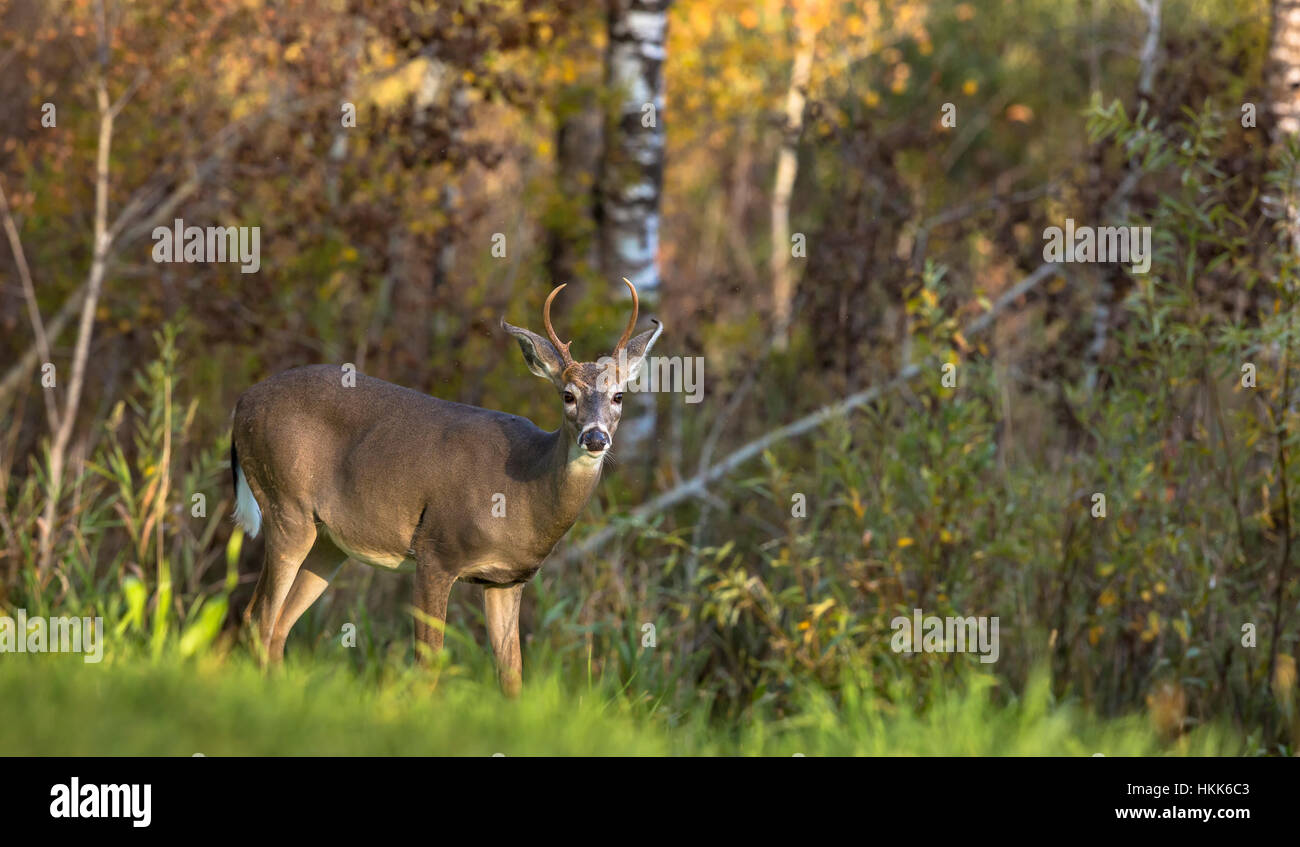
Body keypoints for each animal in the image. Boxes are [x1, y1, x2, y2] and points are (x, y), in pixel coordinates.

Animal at [230, 280, 661, 695]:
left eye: (619, 395)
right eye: (568, 396)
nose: (595, 437)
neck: (525, 494)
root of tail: (241, 402)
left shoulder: (505, 580)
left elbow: (512, 676)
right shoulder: (435, 552)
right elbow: (428, 665)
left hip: (328, 542)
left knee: (279, 625)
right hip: (286, 505)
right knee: (258, 616)